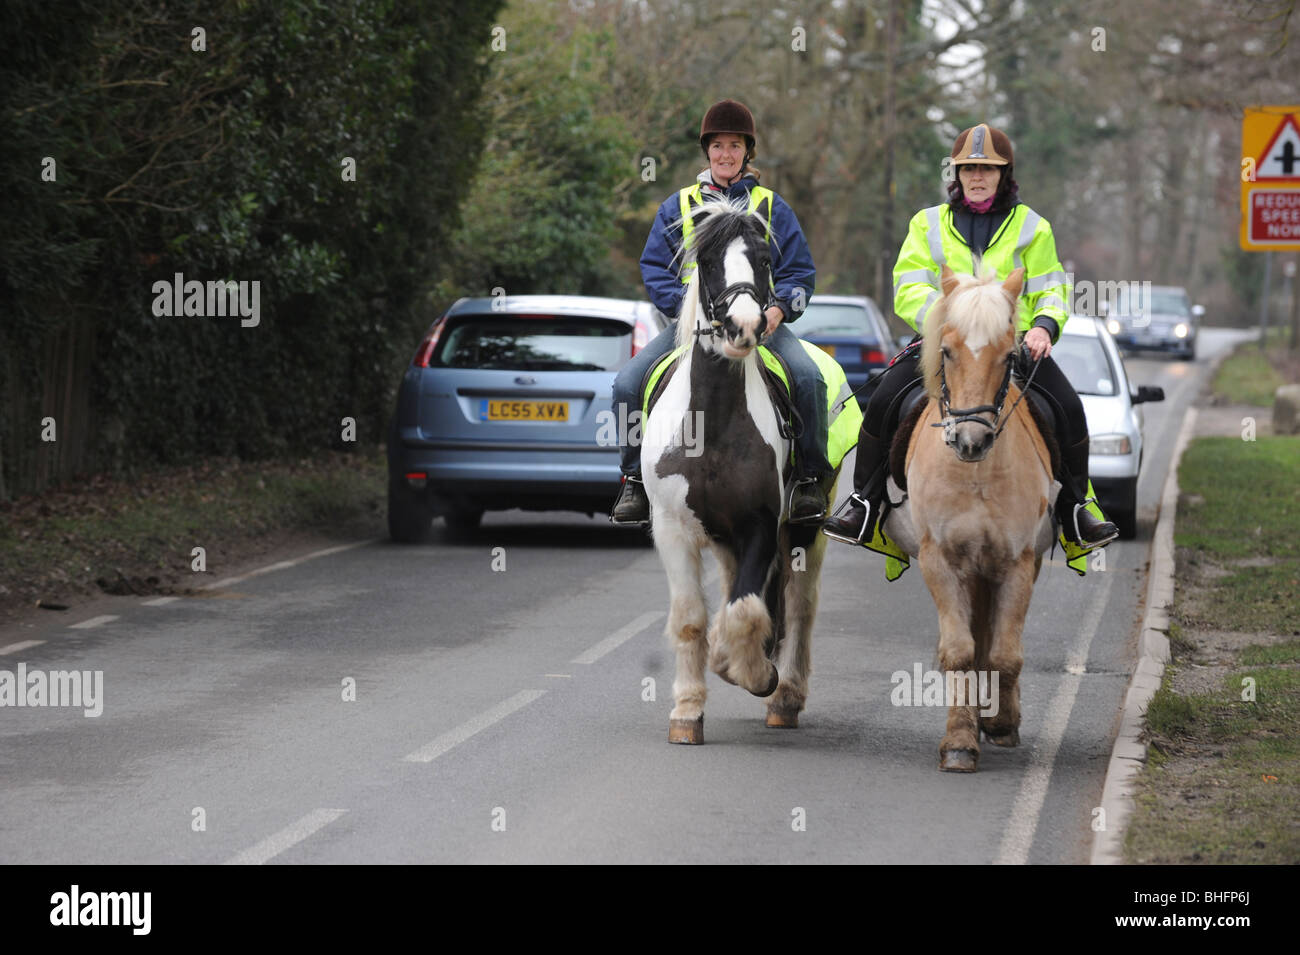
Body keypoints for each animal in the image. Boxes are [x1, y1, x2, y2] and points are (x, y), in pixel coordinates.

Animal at [642, 198, 837, 745]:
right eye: (706, 262)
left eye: (765, 260)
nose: (744, 326)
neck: (712, 425)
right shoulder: (673, 530)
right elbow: (694, 619)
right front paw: (688, 712)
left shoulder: (762, 526)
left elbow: (749, 610)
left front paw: (752, 672)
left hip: (806, 532)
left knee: (800, 606)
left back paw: (785, 697)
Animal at [881, 265, 1057, 772]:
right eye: (946, 351)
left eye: (1010, 354)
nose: (970, 441)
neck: (976, 474)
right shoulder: (940, 559)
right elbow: (961, 651)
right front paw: (960, 741)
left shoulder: (1017, 563)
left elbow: (1005, 653)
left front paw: (999, 722)